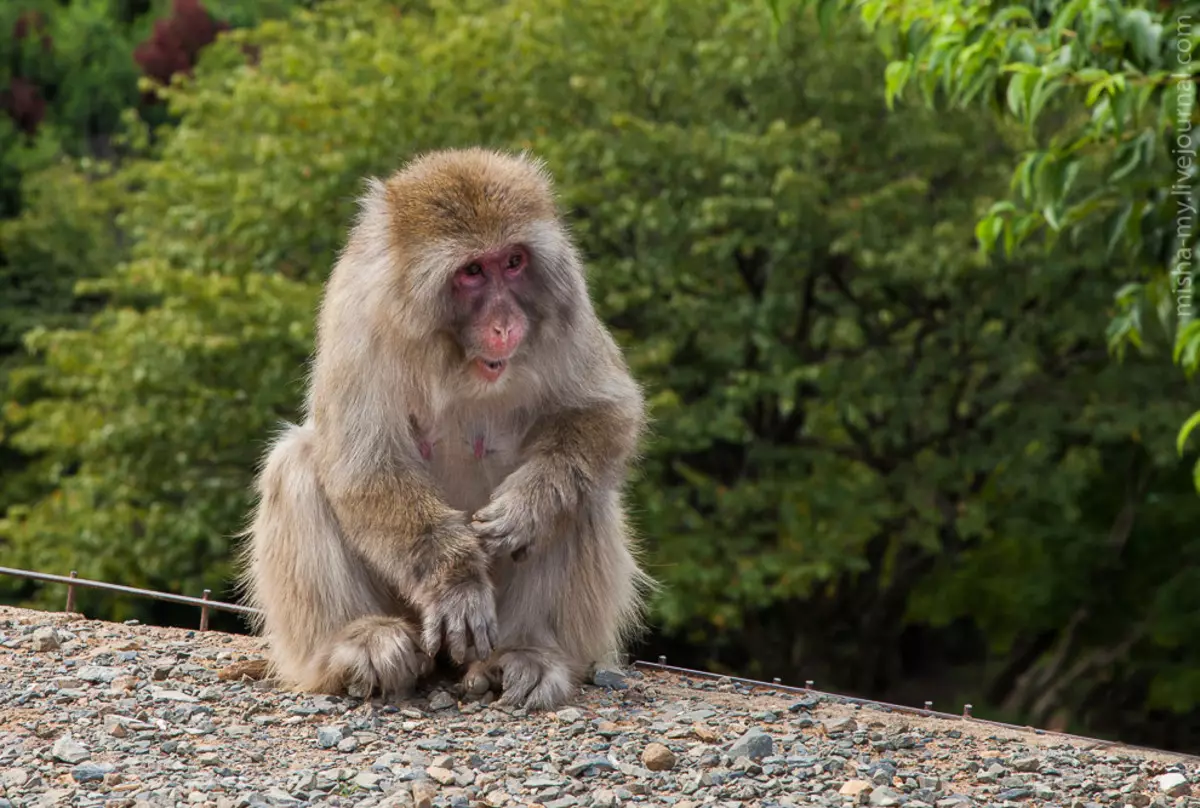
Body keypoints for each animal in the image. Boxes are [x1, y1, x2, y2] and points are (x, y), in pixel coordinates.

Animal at [237, 148, 652, 710]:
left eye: (513, 262)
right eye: (473, 271)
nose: (505, 324)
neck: (454, 356)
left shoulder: (568, 305)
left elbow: (605, 411)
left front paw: (529, 504)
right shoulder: (358, 314)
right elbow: (364, 464)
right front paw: (455, 581)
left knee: (585, 495)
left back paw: (530, 653)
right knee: (298, 464)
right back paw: (356, 644)